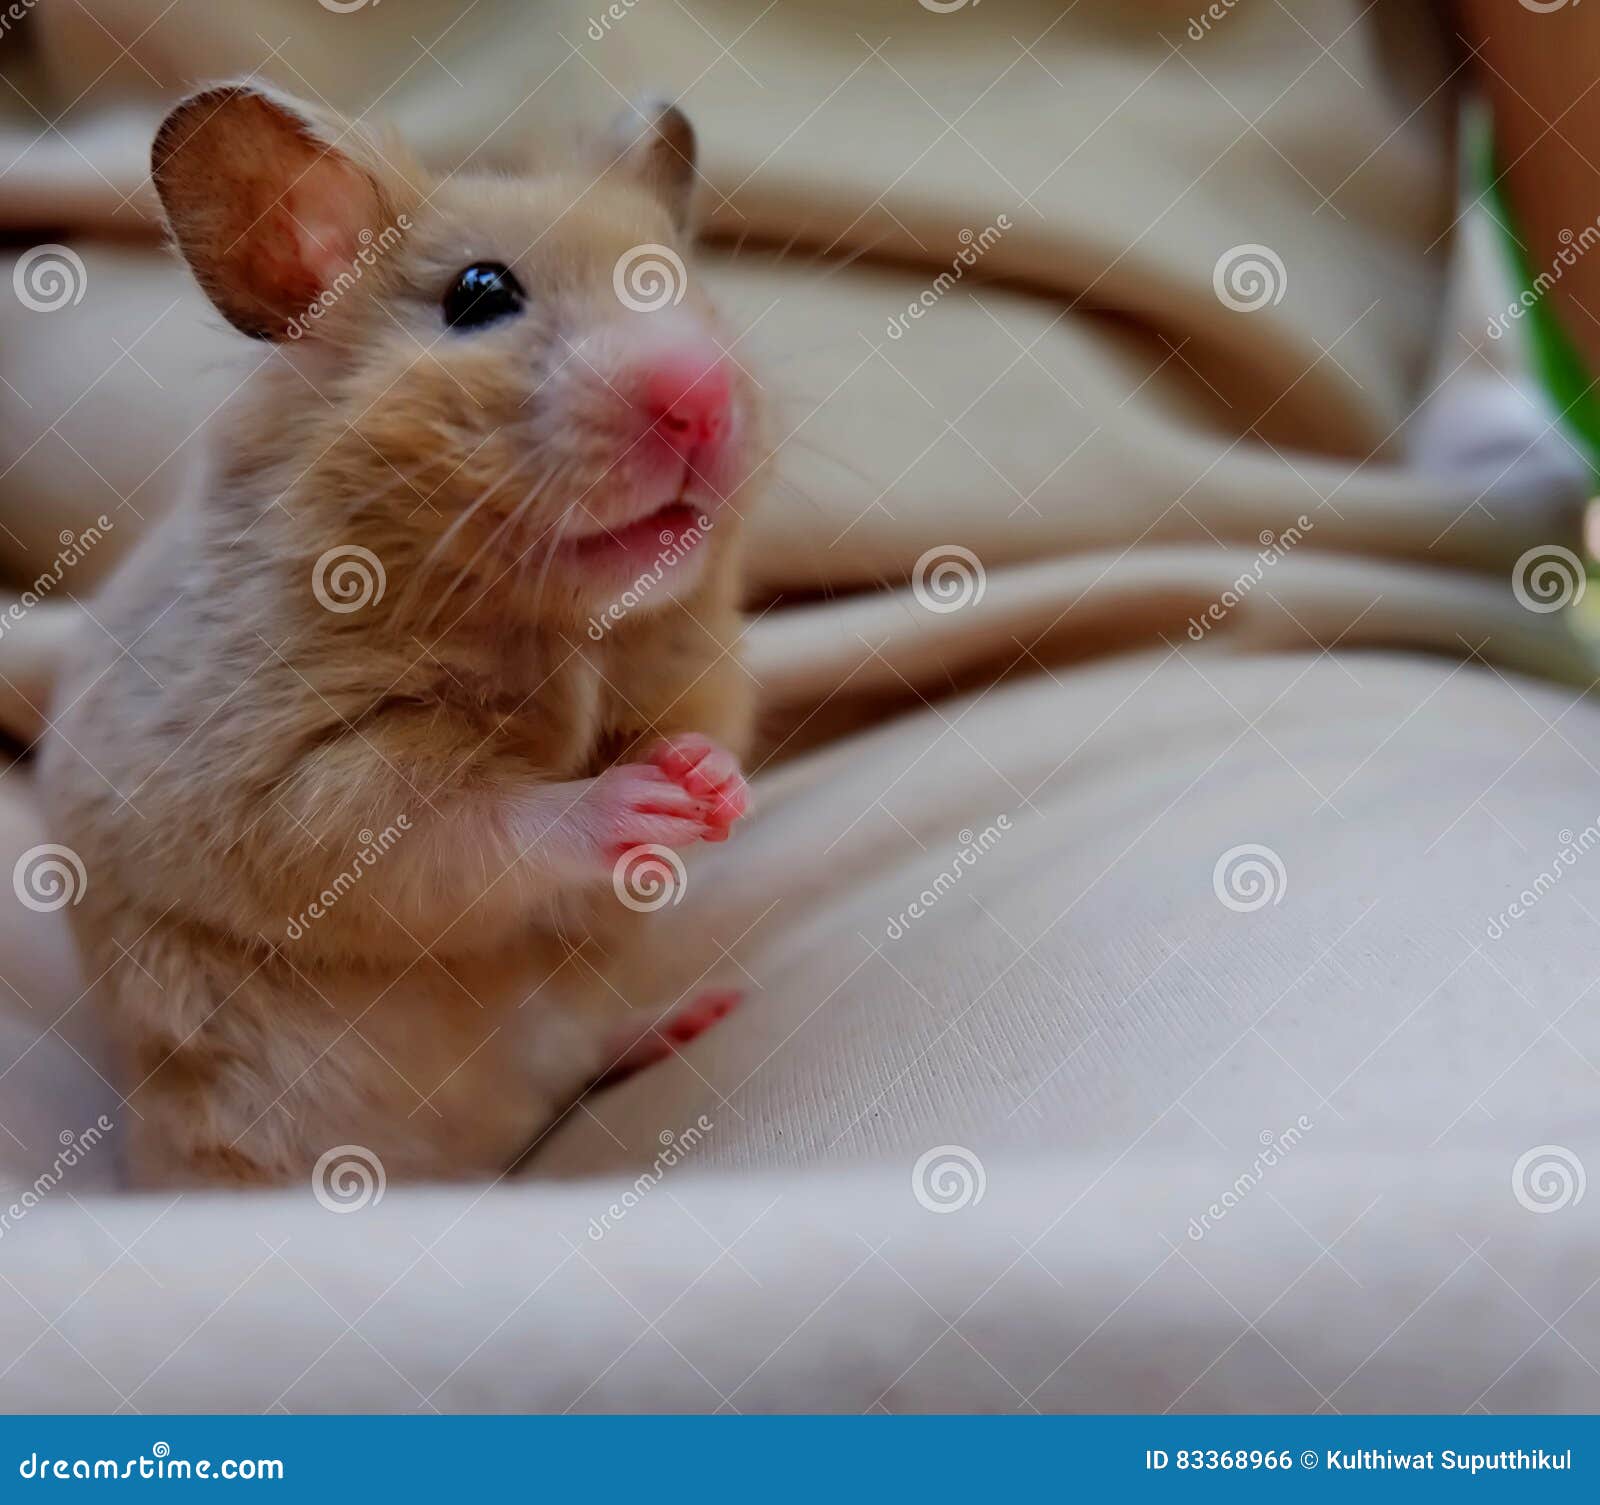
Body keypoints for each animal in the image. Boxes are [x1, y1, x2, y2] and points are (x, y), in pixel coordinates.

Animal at [35, 81, 761, 1188]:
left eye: (687, 288)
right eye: (478, 294)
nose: (706, 400)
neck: (562, 625)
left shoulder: (689, 669)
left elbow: (695, 741)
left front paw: (709, 786)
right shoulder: (303, 783)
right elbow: (477, 827)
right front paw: (644, 799)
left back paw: (690, 1016)